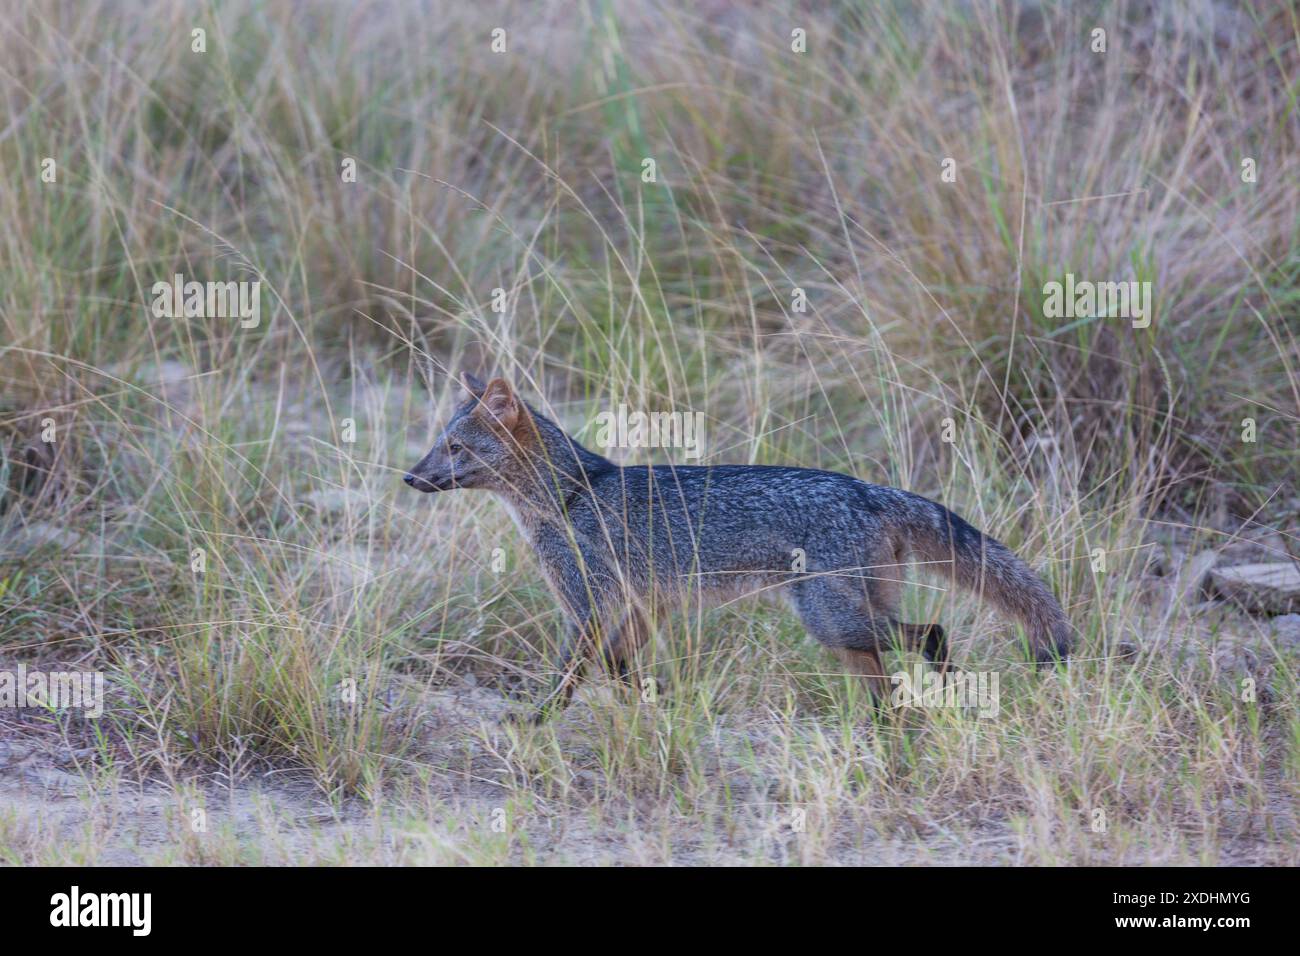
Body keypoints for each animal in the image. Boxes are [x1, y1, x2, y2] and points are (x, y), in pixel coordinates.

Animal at [404, 373, 1073, 722]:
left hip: (831, 619)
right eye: (438, 445)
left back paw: (940, 695)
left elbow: (566, 677)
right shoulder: (642, 608)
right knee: (891, 680)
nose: (410, 477)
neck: (570, 495)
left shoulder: (587, 606)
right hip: (849, 628)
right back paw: (890, 730)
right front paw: (662, 711)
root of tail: (869, 488)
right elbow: (620, 670)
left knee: (932, 633)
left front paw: (535, 725)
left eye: (455, 449)